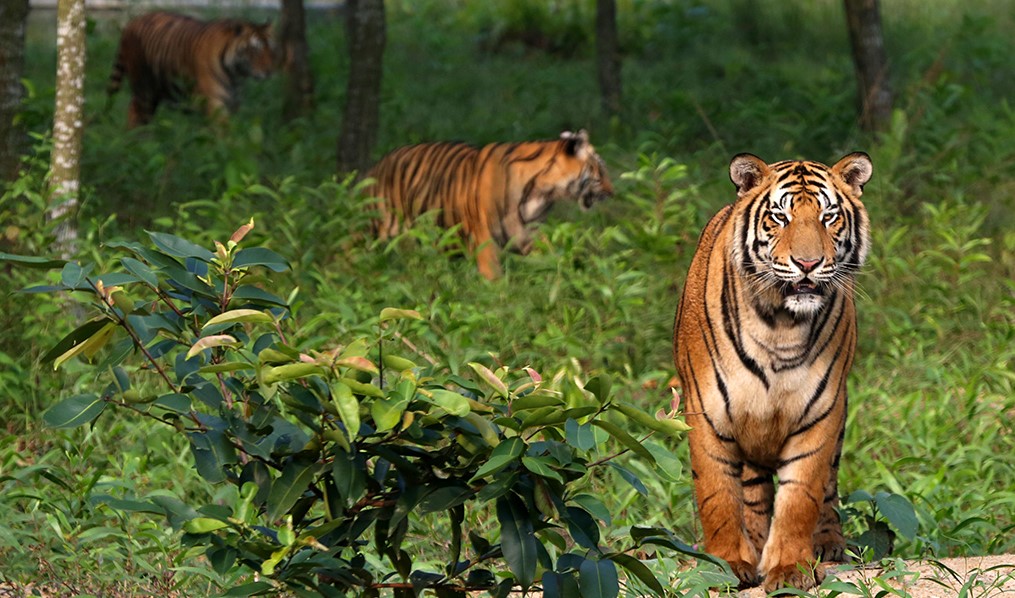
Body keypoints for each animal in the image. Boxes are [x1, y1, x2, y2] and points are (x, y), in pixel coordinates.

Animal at [106, 11, 275, 128]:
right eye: (255, 49)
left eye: (270, 48)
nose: (270, 71)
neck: (235, 75)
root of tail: (131, 23)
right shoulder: (215, 102)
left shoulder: (233, 104)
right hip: (144, 88)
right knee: (135, 112)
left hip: (156, 91)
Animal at [366, 130, 614, 280]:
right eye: (600, 172)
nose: (612, 193)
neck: (542, 193)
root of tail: (376, 166)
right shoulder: (484, 240)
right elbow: (495, 281)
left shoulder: (528, 234)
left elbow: (552, 257)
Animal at [672, 152, 873, 591]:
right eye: (780, 217)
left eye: (829, 216)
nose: (808, 263)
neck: (780, 325)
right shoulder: (708, 412)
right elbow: (717, 495)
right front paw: (726, 564)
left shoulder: (821, 413)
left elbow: (801, 497)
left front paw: (790, 568)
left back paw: (828, 543)